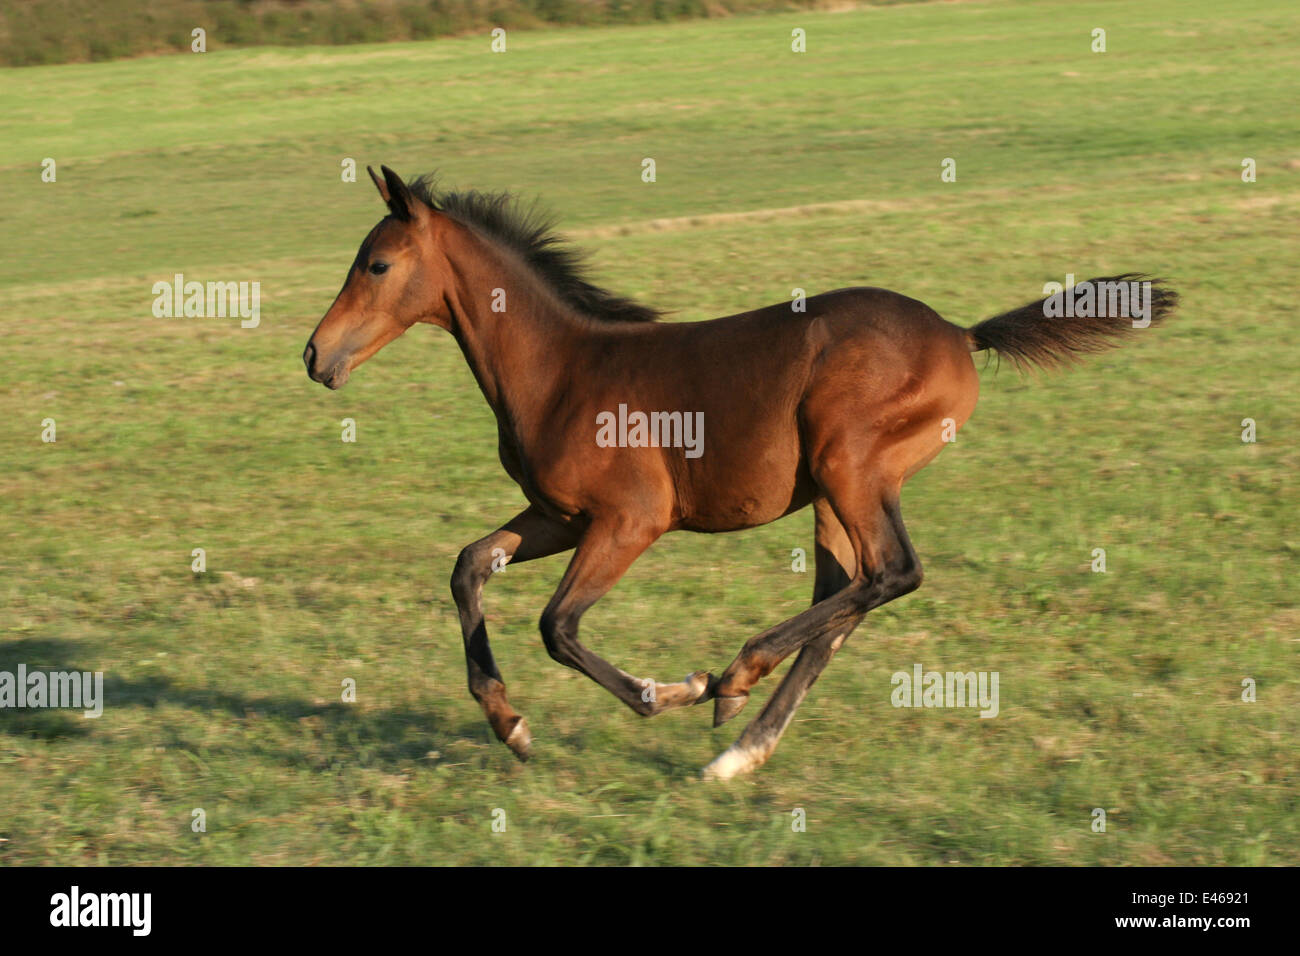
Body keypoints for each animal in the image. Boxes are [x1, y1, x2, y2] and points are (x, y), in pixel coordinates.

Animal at [303, 166, 1176, 780]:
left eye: (376, 265)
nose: (315, 354)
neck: (562, 369)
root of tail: (961, 334)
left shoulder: (633, 519)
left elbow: (558, 626)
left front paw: (675, 690)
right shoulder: (558, 516)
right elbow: (467, 567)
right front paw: (508, 724)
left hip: (848, 463)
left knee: (892, 573)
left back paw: (735, 681)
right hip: (835, 493)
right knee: (846, 601)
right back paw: (739, 750)